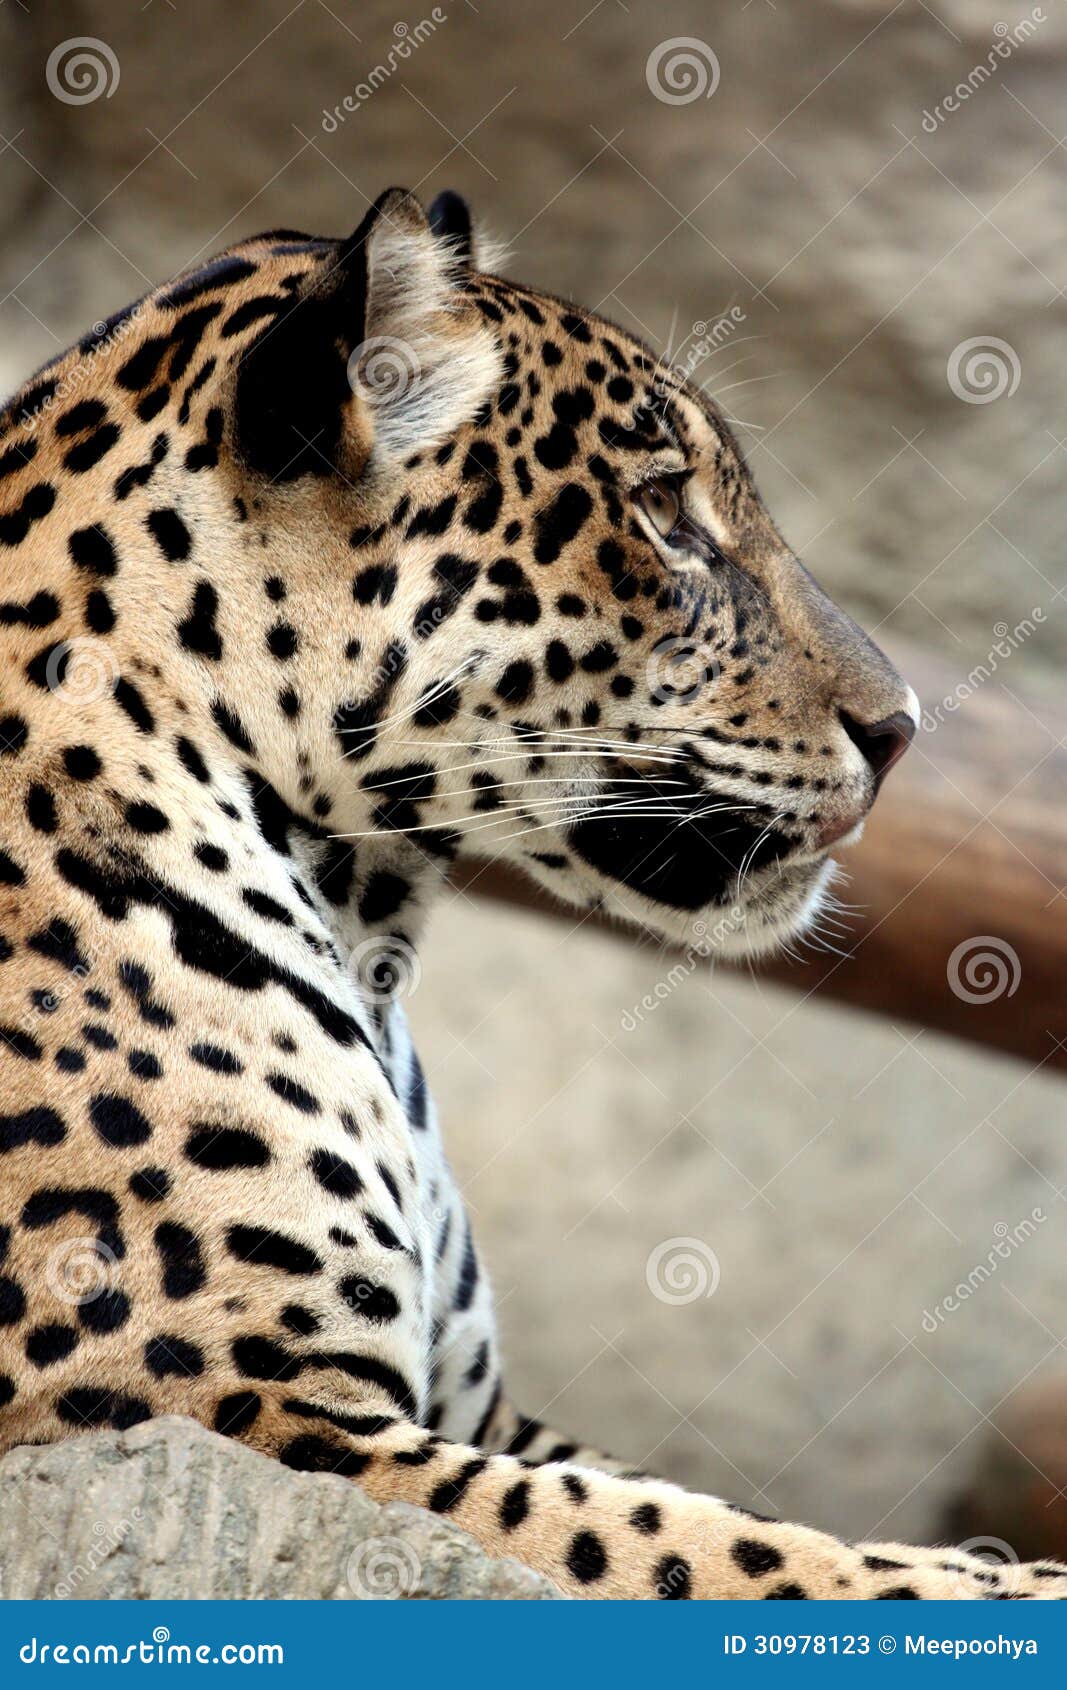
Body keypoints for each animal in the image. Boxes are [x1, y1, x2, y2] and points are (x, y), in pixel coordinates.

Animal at [0, 185, 1062, 1600]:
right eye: (663, 509)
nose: (896, 731)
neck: (365, 923)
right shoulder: (224, 1409)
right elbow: (723, 1545)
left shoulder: (473, 1407)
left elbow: (700, 1500)